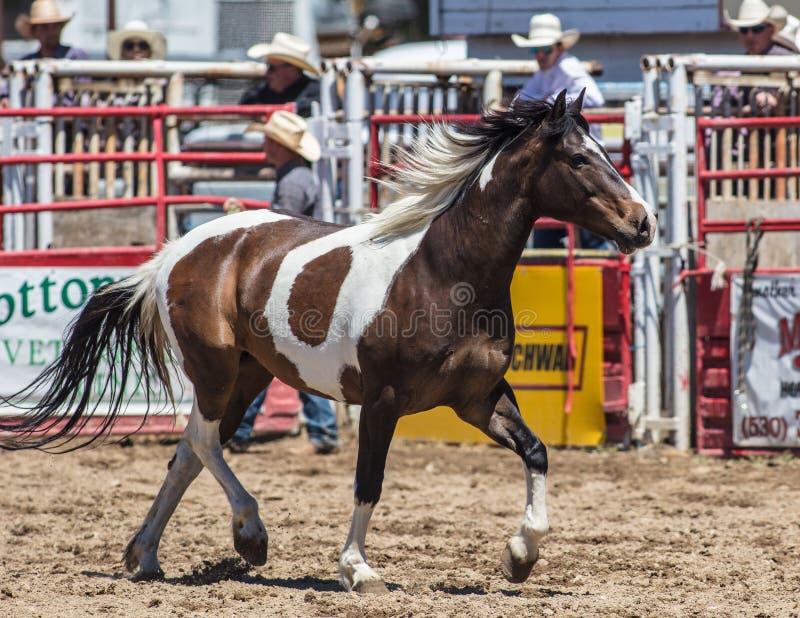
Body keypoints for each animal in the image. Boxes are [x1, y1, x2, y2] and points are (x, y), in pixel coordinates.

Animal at [0, 90, 656, 592]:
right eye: (579, 158)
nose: (643, 222)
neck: (445, 274)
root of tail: (177, 251)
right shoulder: (384, 401)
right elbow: (369, 481)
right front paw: (357, 570)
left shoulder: (479, 399)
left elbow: (537, 452)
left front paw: (522, 554)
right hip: (214, 370)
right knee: (205, 445)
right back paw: (249, 535)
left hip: (249, 374)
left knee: (187, 453)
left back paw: (146, 555)